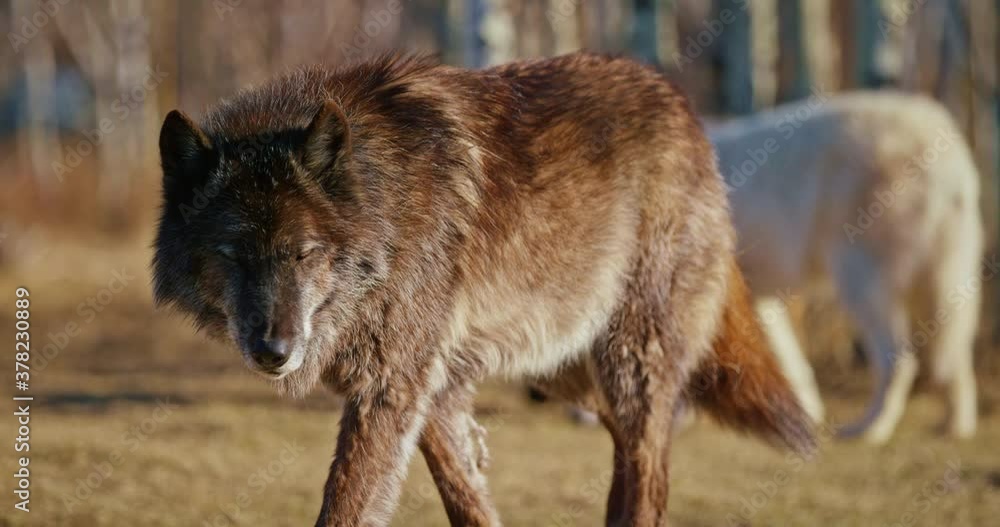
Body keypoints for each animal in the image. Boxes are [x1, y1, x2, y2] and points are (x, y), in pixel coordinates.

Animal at [153, 53, 814, 526]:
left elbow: (346, 507)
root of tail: (683, 107)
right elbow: (467, 498)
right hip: (568, 371)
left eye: (305, 253)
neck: (384, 208)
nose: (274, 352)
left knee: (648, 477)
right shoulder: (431, 389)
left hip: (629, 361)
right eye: (231, 255)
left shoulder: (390, 388)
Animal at [709, 91, 984, 443]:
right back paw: (955, 427)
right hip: (936, 289)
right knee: (954, 359)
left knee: (899, 362)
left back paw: (869, 430)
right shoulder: (760, 301)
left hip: (860, 285)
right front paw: (805, 416)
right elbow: (795, 367)